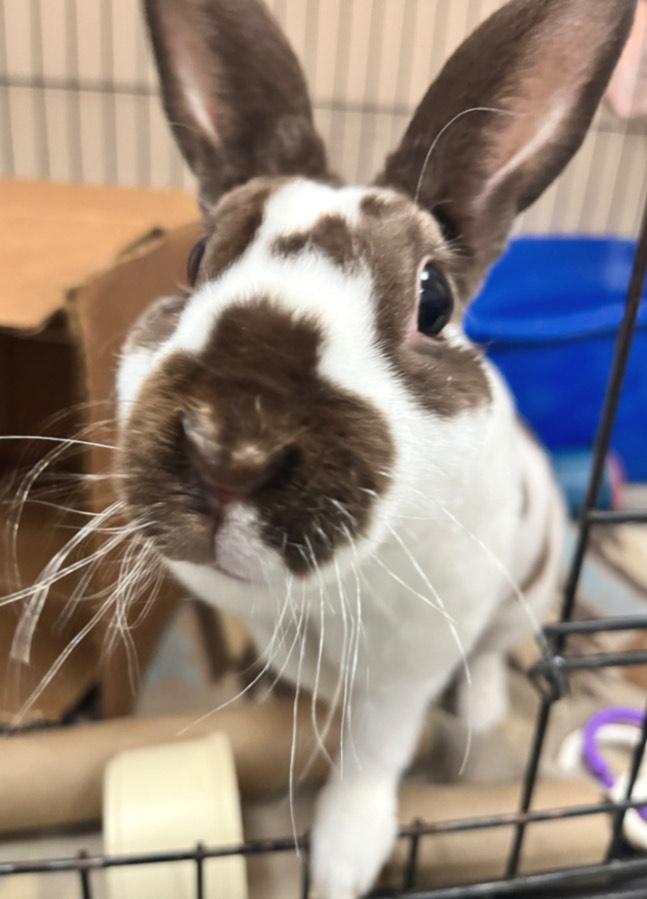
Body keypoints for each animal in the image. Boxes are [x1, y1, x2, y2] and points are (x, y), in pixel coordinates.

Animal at [113, 0, 637, 896]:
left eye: (433, 299)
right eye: (195, 256)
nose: (228, 452)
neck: (312, 597)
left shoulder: (408, 671)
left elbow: (371, 754)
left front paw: (342, 862)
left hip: (522, 592)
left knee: (491, 657)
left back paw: (481, 712)